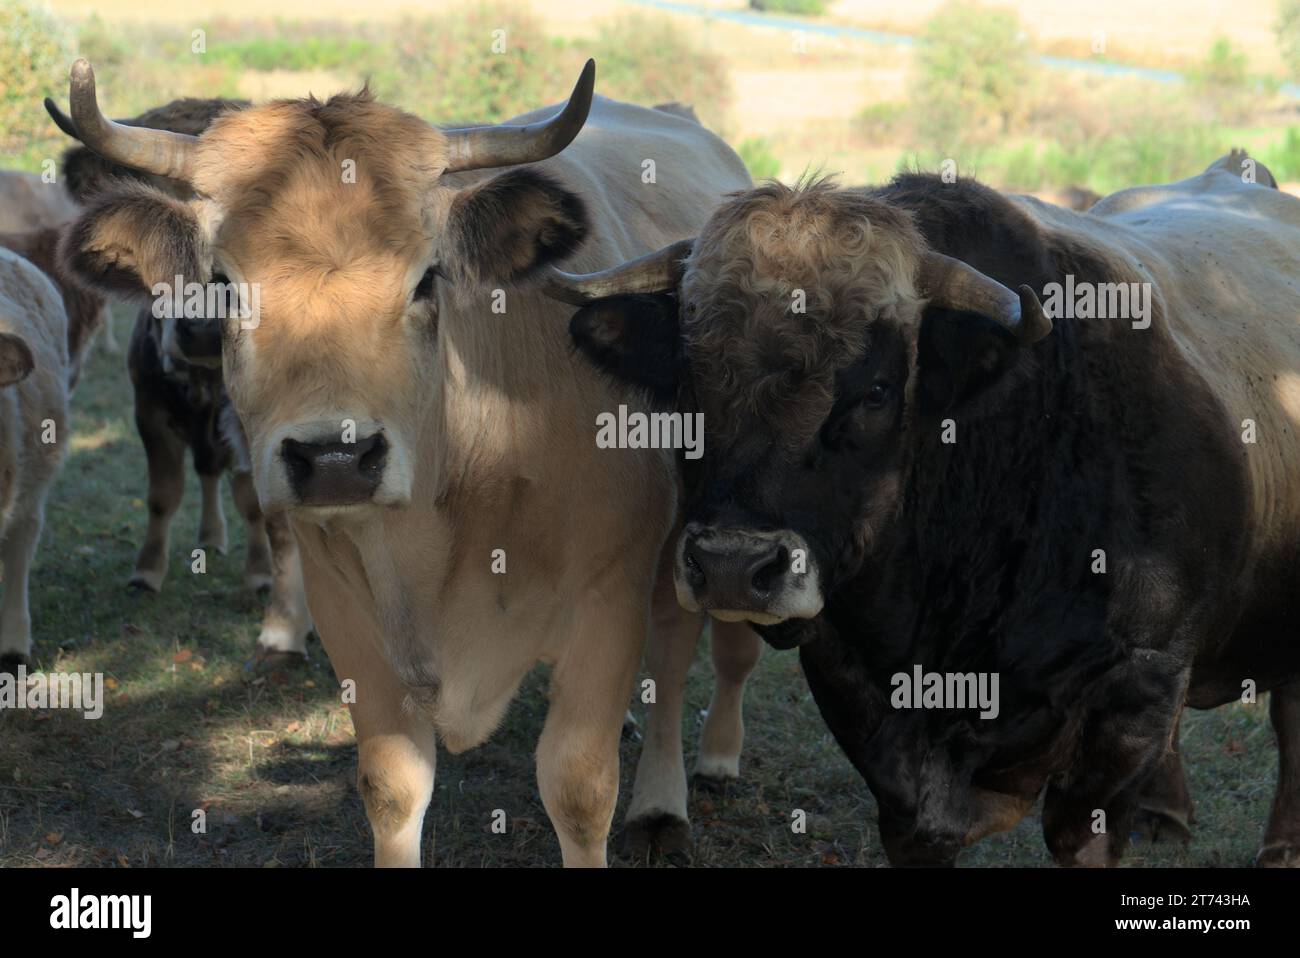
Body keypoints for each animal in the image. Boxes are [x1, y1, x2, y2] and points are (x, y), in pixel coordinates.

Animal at [53, 58, 760, 866]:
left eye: (428, 279)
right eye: (225, 286)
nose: (335, 456)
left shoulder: (610, 596)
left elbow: (580, 791)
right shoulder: (346, 612)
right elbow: (392, 787)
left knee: (676, 662)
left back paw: (669, 794)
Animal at [543, 153, 1300, 867]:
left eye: (877, 390)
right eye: (689, 381)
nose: (732, 566)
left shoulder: (1137, 686)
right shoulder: (863, 697)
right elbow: (921, 826)